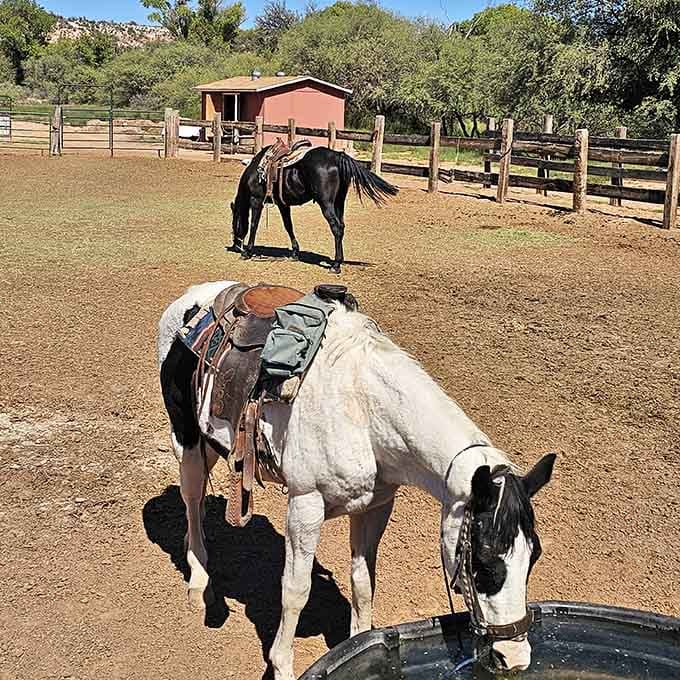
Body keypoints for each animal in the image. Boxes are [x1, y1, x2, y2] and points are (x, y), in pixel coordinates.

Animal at [157, 280, 556, 680]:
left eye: (534, 556)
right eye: (484, 561)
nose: (513, 658)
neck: (364, 412)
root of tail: (197, 297)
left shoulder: (375, 506)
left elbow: (363, 581)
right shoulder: (305, 505)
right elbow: (295, 590)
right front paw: (282, 665)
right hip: (187, 439)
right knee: (191, 499)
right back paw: (199, 581)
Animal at [229, 146, 399, 273]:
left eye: (233, 224)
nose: (235, 245)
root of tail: (337, 156)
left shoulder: (256, 200)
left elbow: (253, 225)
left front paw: (248, 252)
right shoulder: (283, 204)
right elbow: (288, 226)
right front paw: (295, 253)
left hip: (326, 204)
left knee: (336, 227)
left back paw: (336, 265)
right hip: (339, 202)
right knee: (342, 226)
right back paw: (339, 260)